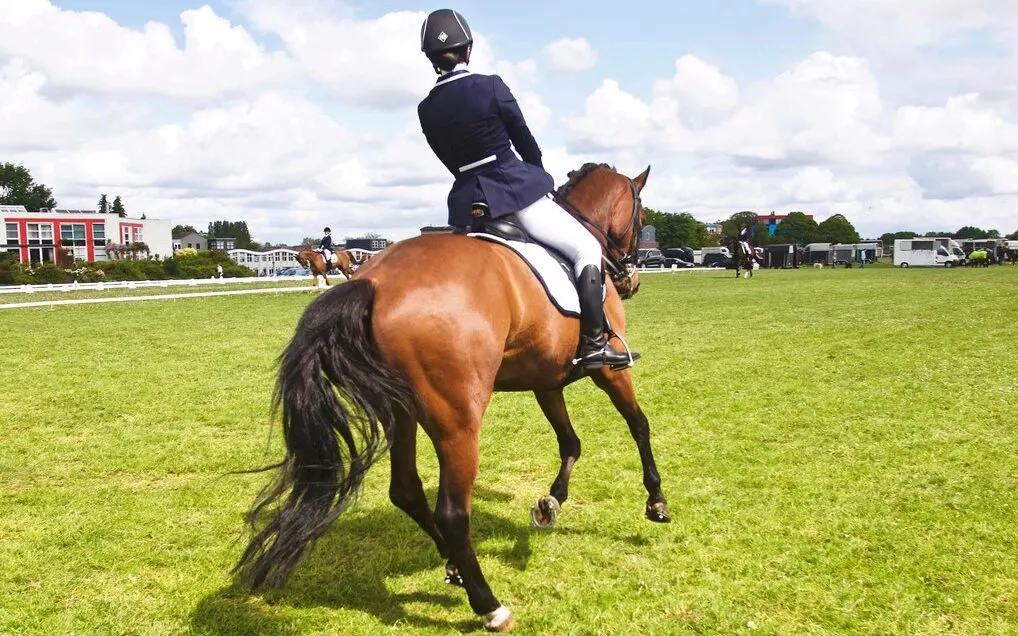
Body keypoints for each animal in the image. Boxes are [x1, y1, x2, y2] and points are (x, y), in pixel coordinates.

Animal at [232, 163, 669, 633]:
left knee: (406, 491)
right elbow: (638, 424)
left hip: (401, 412)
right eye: (643, 219)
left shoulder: (546, 380)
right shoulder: (608, 370)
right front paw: (656, 502)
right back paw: (490, 606)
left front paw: (551, 503)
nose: (631, 281)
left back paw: (456, 567)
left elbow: (570, 442)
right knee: (453, 512)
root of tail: (375, 281)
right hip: (458, 421)